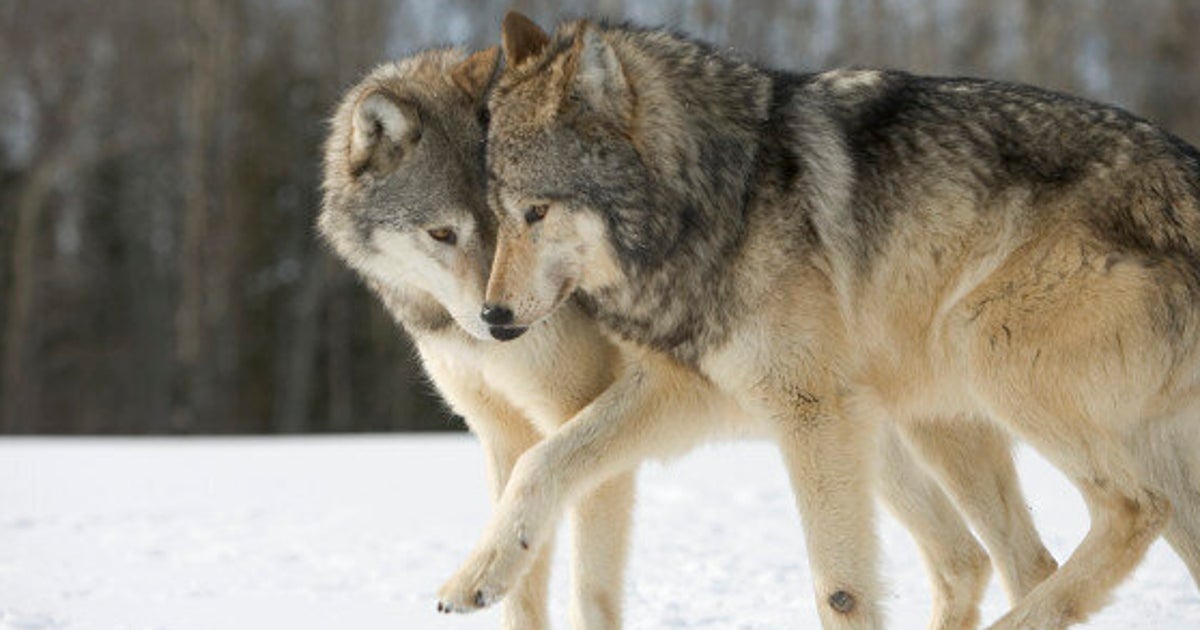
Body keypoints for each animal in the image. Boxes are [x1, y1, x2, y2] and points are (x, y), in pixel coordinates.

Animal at [319, 46, 1055, 630]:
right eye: (443, 233)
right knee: (968, 560)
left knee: (1016, 562)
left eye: (526, 220)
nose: (499, 321)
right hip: (866, 440)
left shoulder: (600, 414)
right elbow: (523, 586)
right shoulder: (503, 433)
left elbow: (582, 570)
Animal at [451, 12, 1200, 630]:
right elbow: (542, 460)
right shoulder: (694, 391)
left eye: (536, 211)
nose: (492, 316)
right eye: (497, 213)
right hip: (935, 420)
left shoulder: (809, 410)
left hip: (978, 345)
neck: (722, 197)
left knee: (1130, 512)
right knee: (1026, 560)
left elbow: (840, 590)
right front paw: (476, 575)